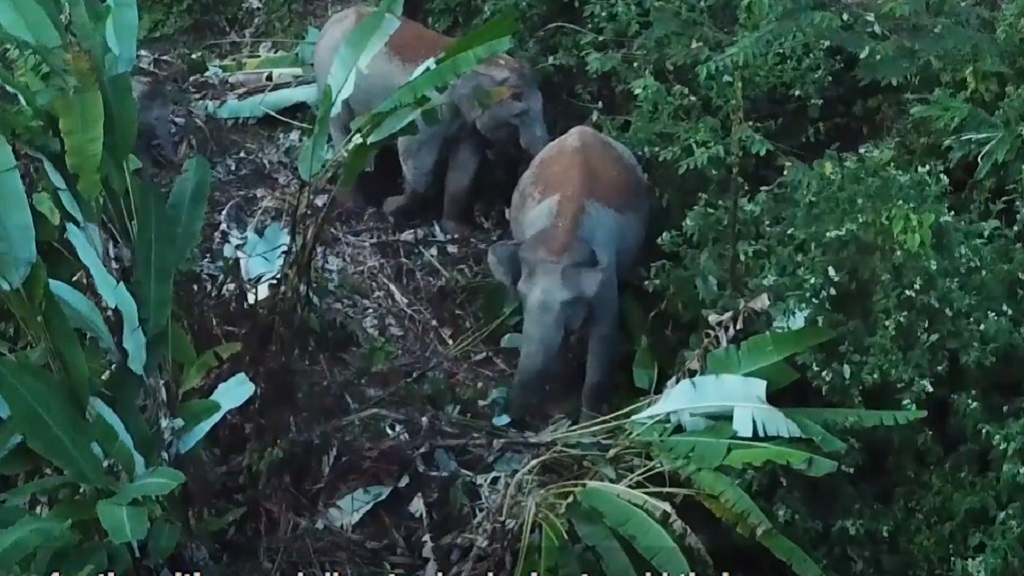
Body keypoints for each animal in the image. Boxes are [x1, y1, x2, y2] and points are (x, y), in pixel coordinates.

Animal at [313, 4, 550, 235]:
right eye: (519, 114)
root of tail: (332, 20)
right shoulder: (426, 111)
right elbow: (414, 159)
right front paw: (391, 207)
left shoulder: (467, 123)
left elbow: (464, 170)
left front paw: (457, 230)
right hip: (331, 83)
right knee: (341, 130)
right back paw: (353, 204)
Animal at [487, 125, 651, 422]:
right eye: (522, 296)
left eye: (569, 304)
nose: (510, 417)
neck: (560, 238)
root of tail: (583, 130)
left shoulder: (605, 278)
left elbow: (603, 335)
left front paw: (586, 424)